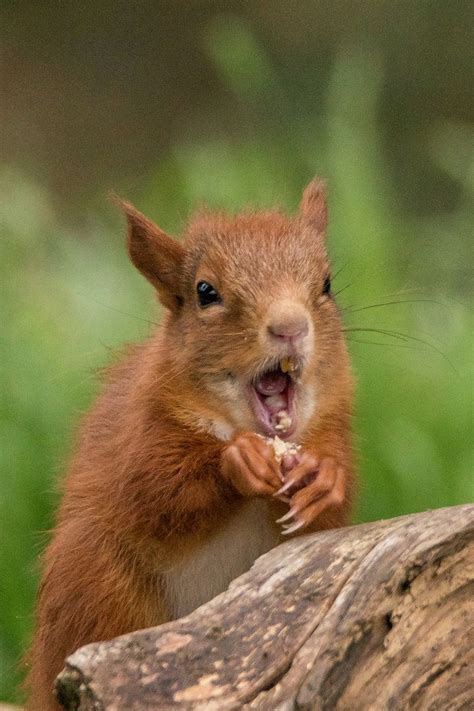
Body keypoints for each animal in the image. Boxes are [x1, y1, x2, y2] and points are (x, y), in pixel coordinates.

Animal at [26, 178, 355, 710]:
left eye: (326, 284)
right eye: (206, 292)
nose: (290, 325)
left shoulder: (330, 433)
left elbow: (322, 529)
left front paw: (324, 479)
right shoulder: (139, 437)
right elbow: (158, 497)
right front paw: (237, 463)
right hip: (97, 583)